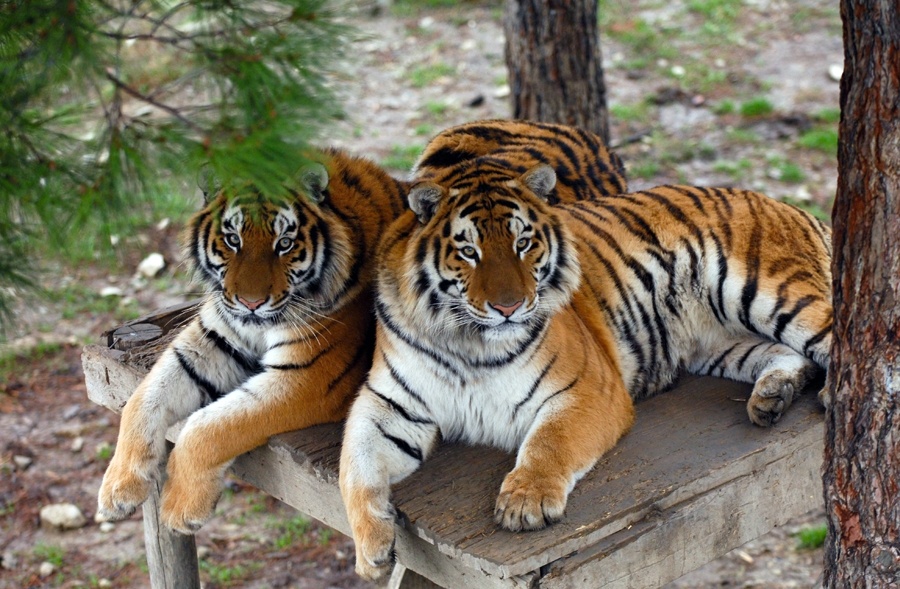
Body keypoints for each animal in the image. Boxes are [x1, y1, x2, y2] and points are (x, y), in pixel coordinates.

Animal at [98, 149, 407, 534]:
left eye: (284, 244)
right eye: (233, 240)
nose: (250, 303)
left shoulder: (307, 376)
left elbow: (207, 426)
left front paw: (180, 509)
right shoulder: (208, 342)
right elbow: (142, 399)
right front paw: (117, 490)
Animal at [338, 159, 832, 581]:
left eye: (522, 243)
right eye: (468, 251)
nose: (508, 307)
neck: (468, 343)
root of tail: (784, 204)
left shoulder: (586, 388)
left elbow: (549, 442)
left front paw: (525, 501)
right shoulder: (387, 407)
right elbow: (354, 467)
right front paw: (371, 550)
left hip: (770, 294)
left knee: (835, 332)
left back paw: (827, 396)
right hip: (718, 343)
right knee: (792, 356)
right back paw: (772, 398)